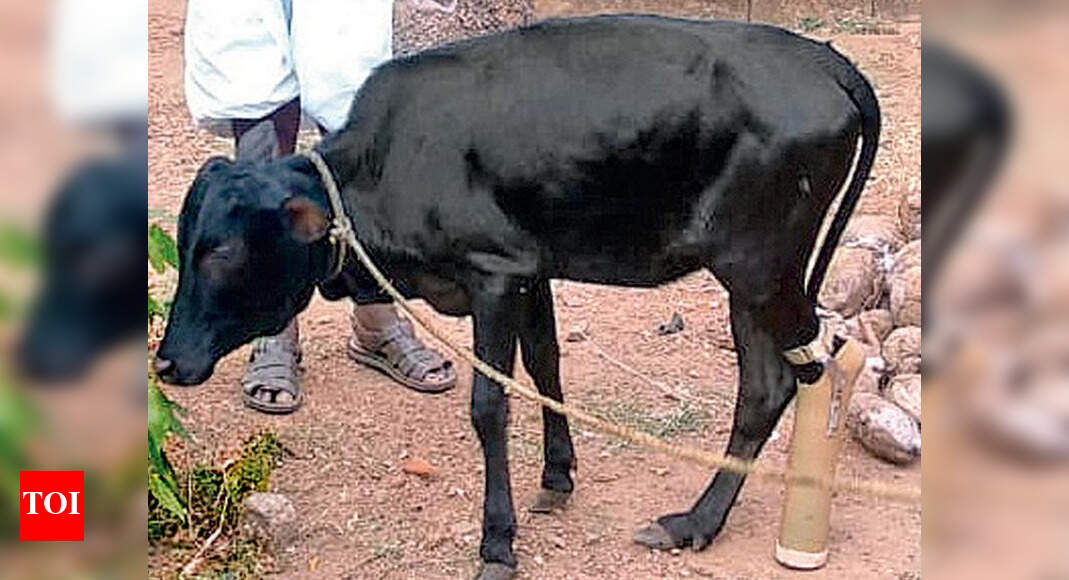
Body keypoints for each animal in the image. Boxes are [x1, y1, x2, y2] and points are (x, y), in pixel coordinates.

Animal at [154, 15, 879, 579]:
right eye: (186, 240)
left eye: (222, 251)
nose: (165, 361)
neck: (385, 170)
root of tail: (825, 58)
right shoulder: (533, 268)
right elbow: (545, 367)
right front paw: (557, 477)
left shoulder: (495, 274)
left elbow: (489, 404)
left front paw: (497, 542)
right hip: (756, 278)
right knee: (765, 386)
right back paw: (700, 522)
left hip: (759, 267)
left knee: (792, 374)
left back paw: (708, 522)